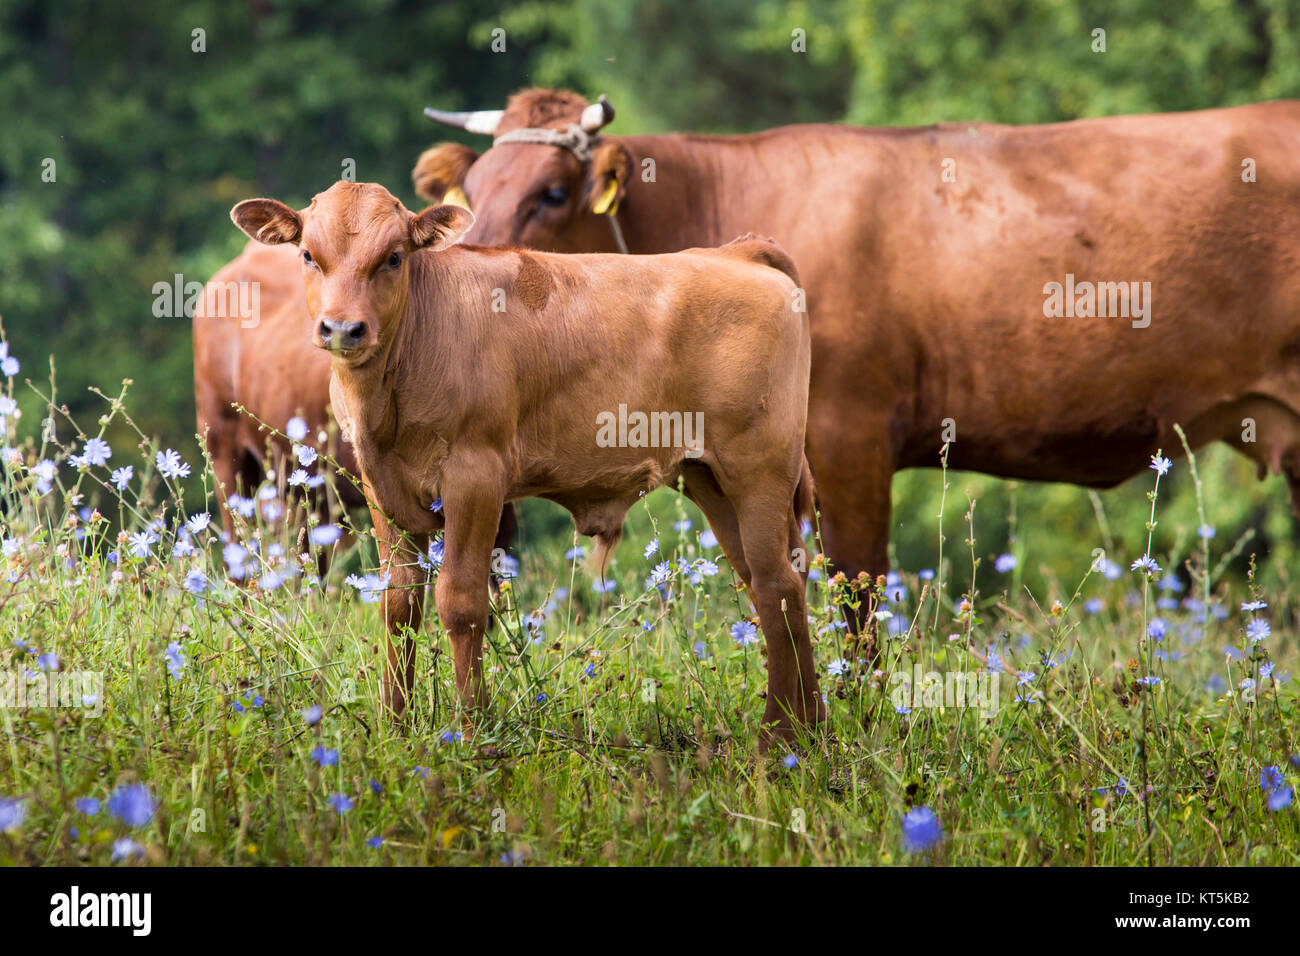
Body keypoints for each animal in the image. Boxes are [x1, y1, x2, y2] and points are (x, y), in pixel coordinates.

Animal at [228, 181, 824, 743]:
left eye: (394, 257)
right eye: (308, 254)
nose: (343, 329)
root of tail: (736, 252)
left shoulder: (476, 477)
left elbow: (461, 602)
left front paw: (473, 731)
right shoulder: (383, 490)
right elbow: (398, 606)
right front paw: (394, 728)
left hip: (758, 469)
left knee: (777, 585)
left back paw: (779, 736)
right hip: (710, 479)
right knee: (775, 581)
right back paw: (814, 727)